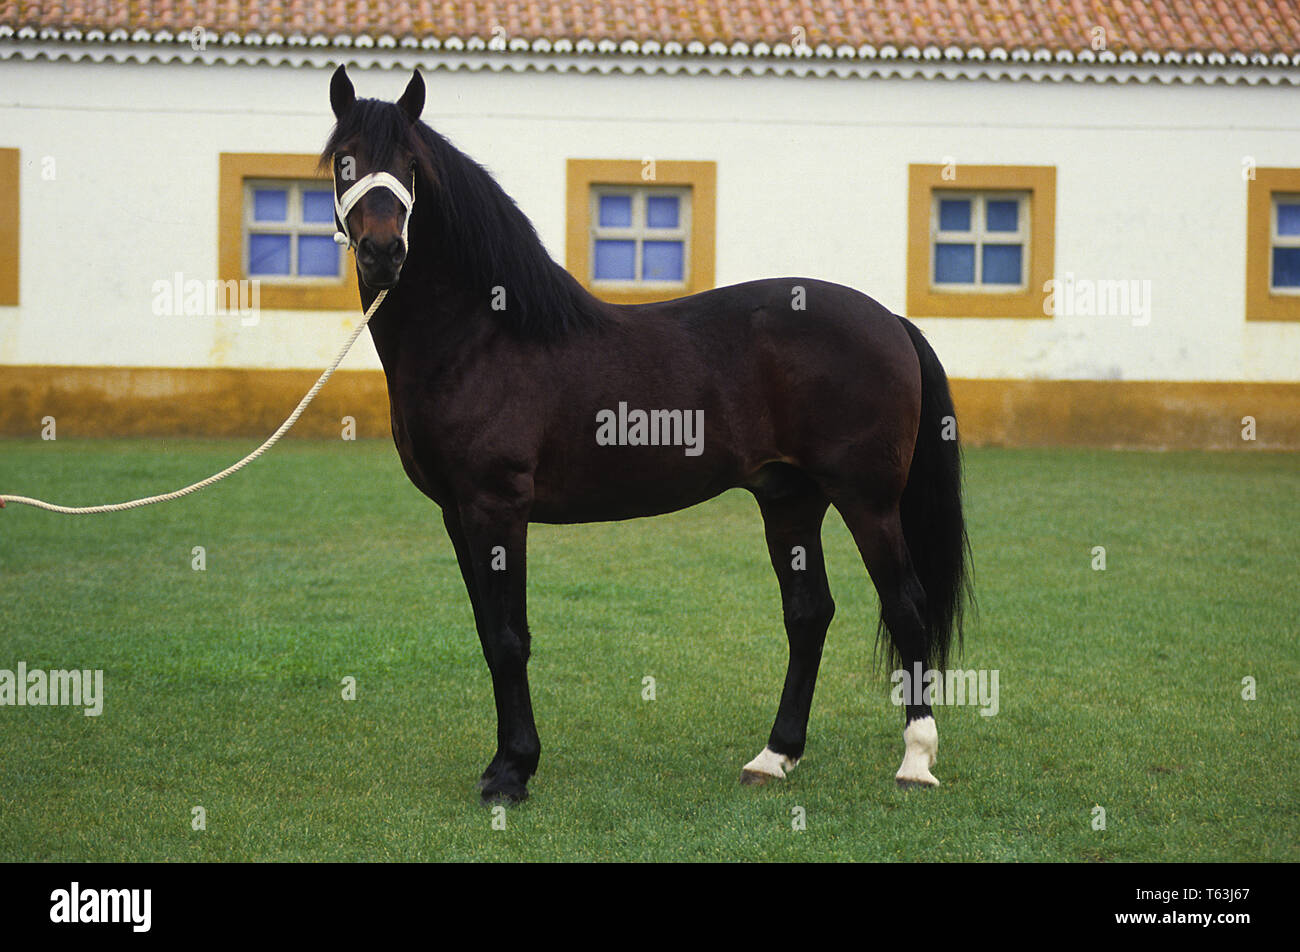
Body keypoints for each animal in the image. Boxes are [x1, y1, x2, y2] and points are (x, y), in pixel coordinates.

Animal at [321, 66, 972, 803]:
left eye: (411, 165)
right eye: (344, 160)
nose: (383, 251)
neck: (483, 337)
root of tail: (891, 319)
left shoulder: (497, 507)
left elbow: (511, 637)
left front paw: (513, 771)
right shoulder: (458, 515)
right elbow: (490, 634)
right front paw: (505, 762)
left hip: (868, 500)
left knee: (907, 606)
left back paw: (915, 760)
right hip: (790, 499)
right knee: (810, 615)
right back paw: (774, 755)